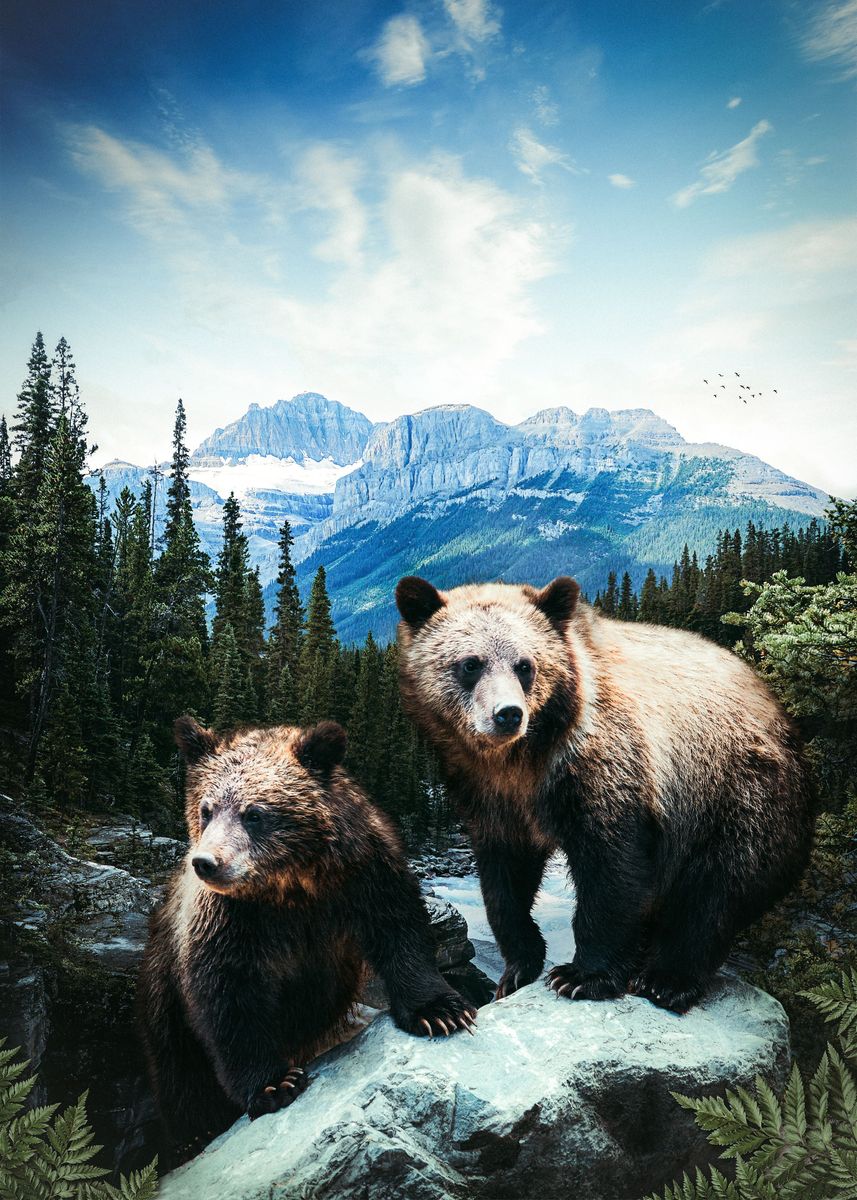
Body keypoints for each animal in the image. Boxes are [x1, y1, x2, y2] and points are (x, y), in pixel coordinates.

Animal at [138, 717, 477, 1165]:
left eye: (254, 813)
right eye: (206, 809)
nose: (207, 862)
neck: (293, 885)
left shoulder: (364, 876)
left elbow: (400, 932)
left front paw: (440, 1011)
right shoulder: (231, 923)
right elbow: (229, 999)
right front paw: (273, 1084)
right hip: (163, 1000)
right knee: (179, 1075)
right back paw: (193, 1135)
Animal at [395, 574, 815, 1015]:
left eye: (525, 665)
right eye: (470, 664)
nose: (508, 714)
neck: (525, 760)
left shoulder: (605, 766)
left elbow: (611, 868)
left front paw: (581, 975)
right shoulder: (490, 797)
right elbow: (505, 880)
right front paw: (518, 968)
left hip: (737, 794)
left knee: (715, 891)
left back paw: (667, 979)